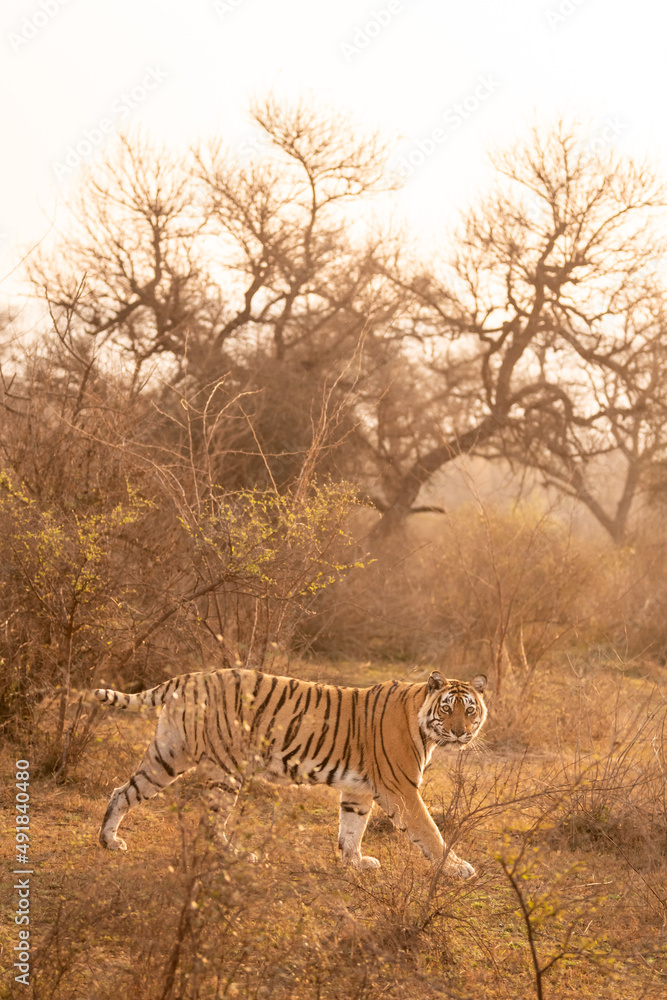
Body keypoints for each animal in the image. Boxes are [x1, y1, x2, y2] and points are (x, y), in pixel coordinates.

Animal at [93, 667, 488, 878]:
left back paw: (109, 841)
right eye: (448, 708)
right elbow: (429, 831)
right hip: (224, 769)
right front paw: (458, 868)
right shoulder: (401, 788)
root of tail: (188, 678)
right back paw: (238, 856)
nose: (460, 733)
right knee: (210, 821)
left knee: (122, 792)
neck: (423, 724)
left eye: (470, 710)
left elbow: (352, 828)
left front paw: (355, 862)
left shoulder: (359, 790)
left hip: (168, 755)